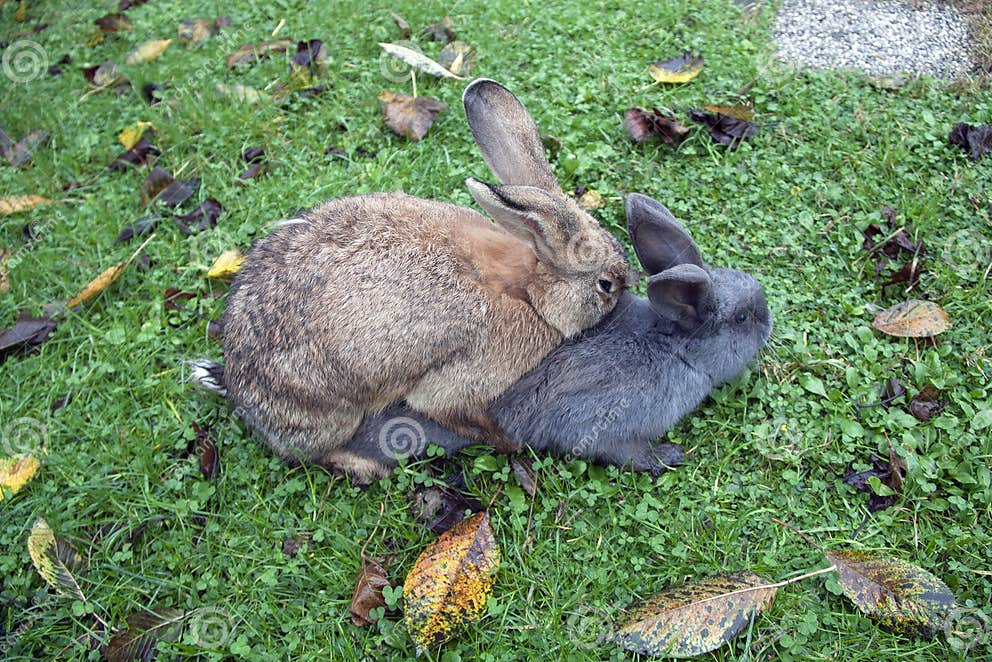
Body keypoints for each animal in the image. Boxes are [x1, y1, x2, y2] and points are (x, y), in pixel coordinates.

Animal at [211, 79, 634, 482]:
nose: (624, 290)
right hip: (328, 412)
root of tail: (239, 387)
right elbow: (451, 411)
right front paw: (510, 444)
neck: (528, 288)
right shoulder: (463, 379)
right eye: (606, 285)